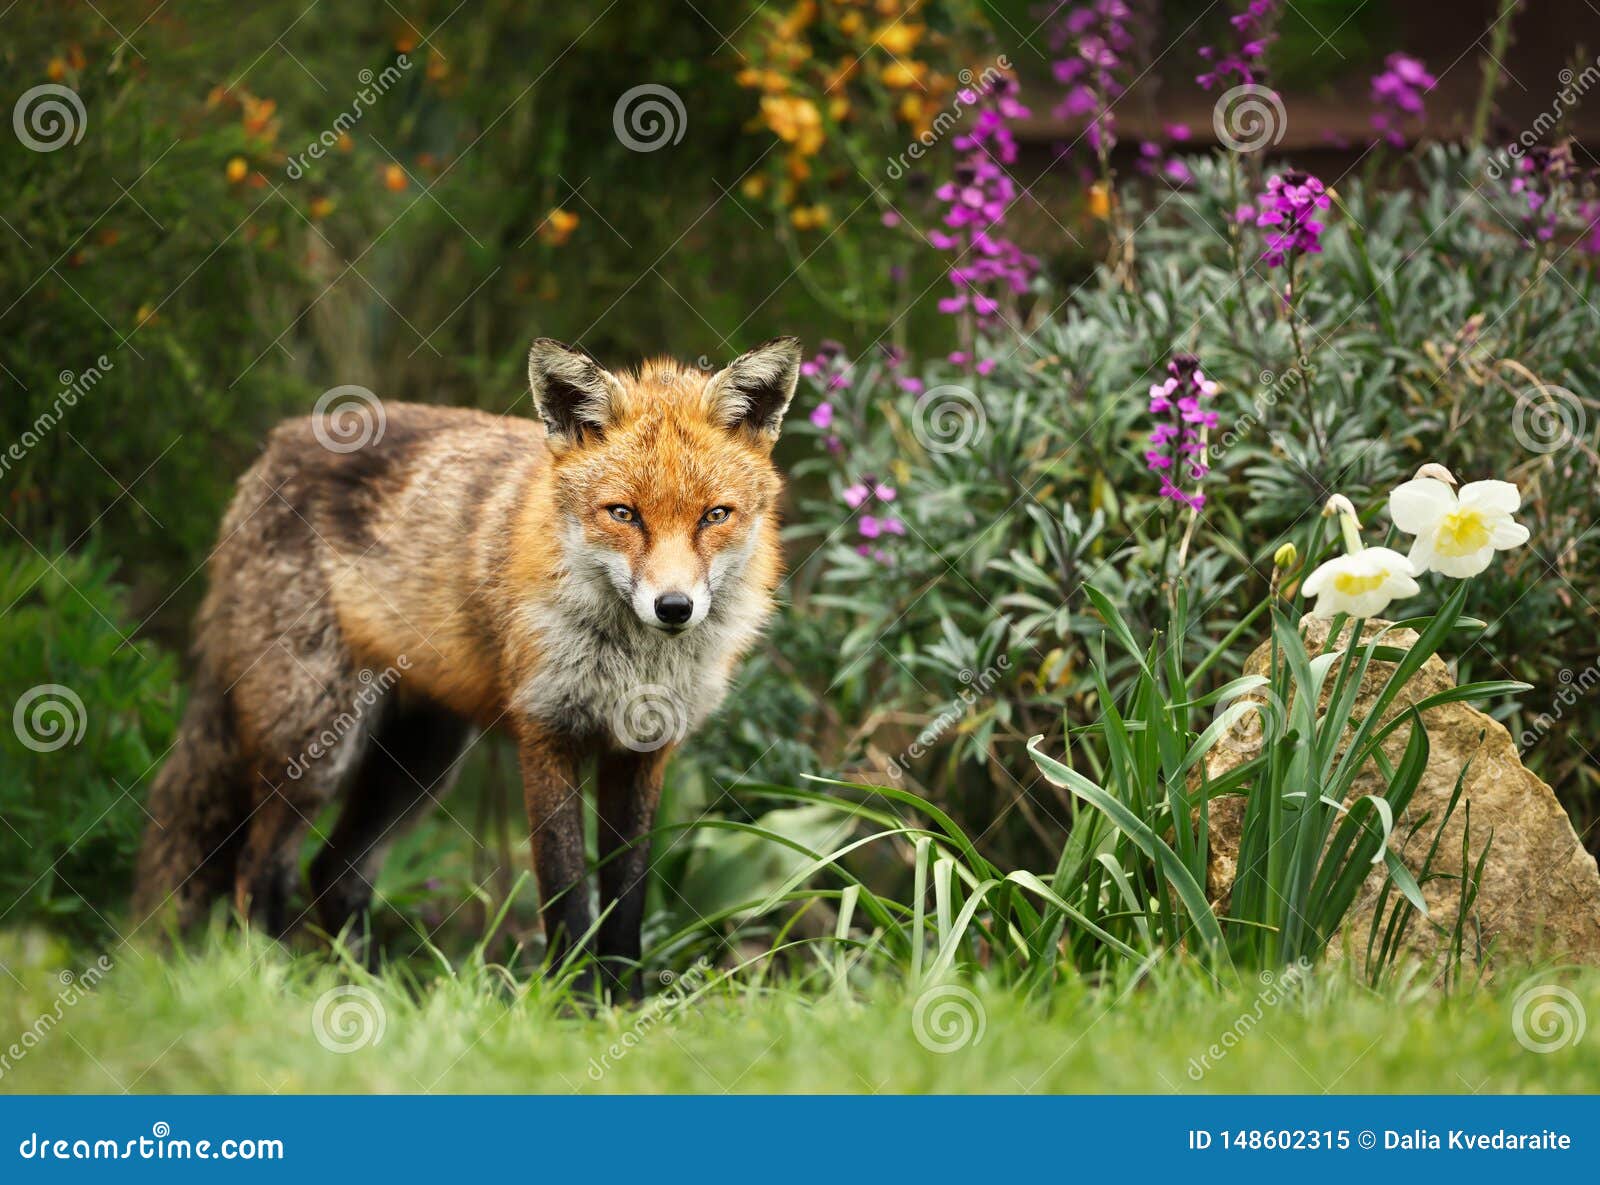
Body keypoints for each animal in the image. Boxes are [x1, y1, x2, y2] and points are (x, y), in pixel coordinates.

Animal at [132, 336, 803, 996]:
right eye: (623, 514)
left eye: (714, 516)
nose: (673, 607)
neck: (634, 663)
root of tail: (274, 449)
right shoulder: (546, 733)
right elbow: (566, 893)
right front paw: (572, 1007)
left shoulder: (643, 751)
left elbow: (626, 901)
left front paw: (625, 1006)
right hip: (318, 747)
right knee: (258, 872)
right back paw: (280, 992)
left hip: (421, 764)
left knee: (334, 873)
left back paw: (371, 996)